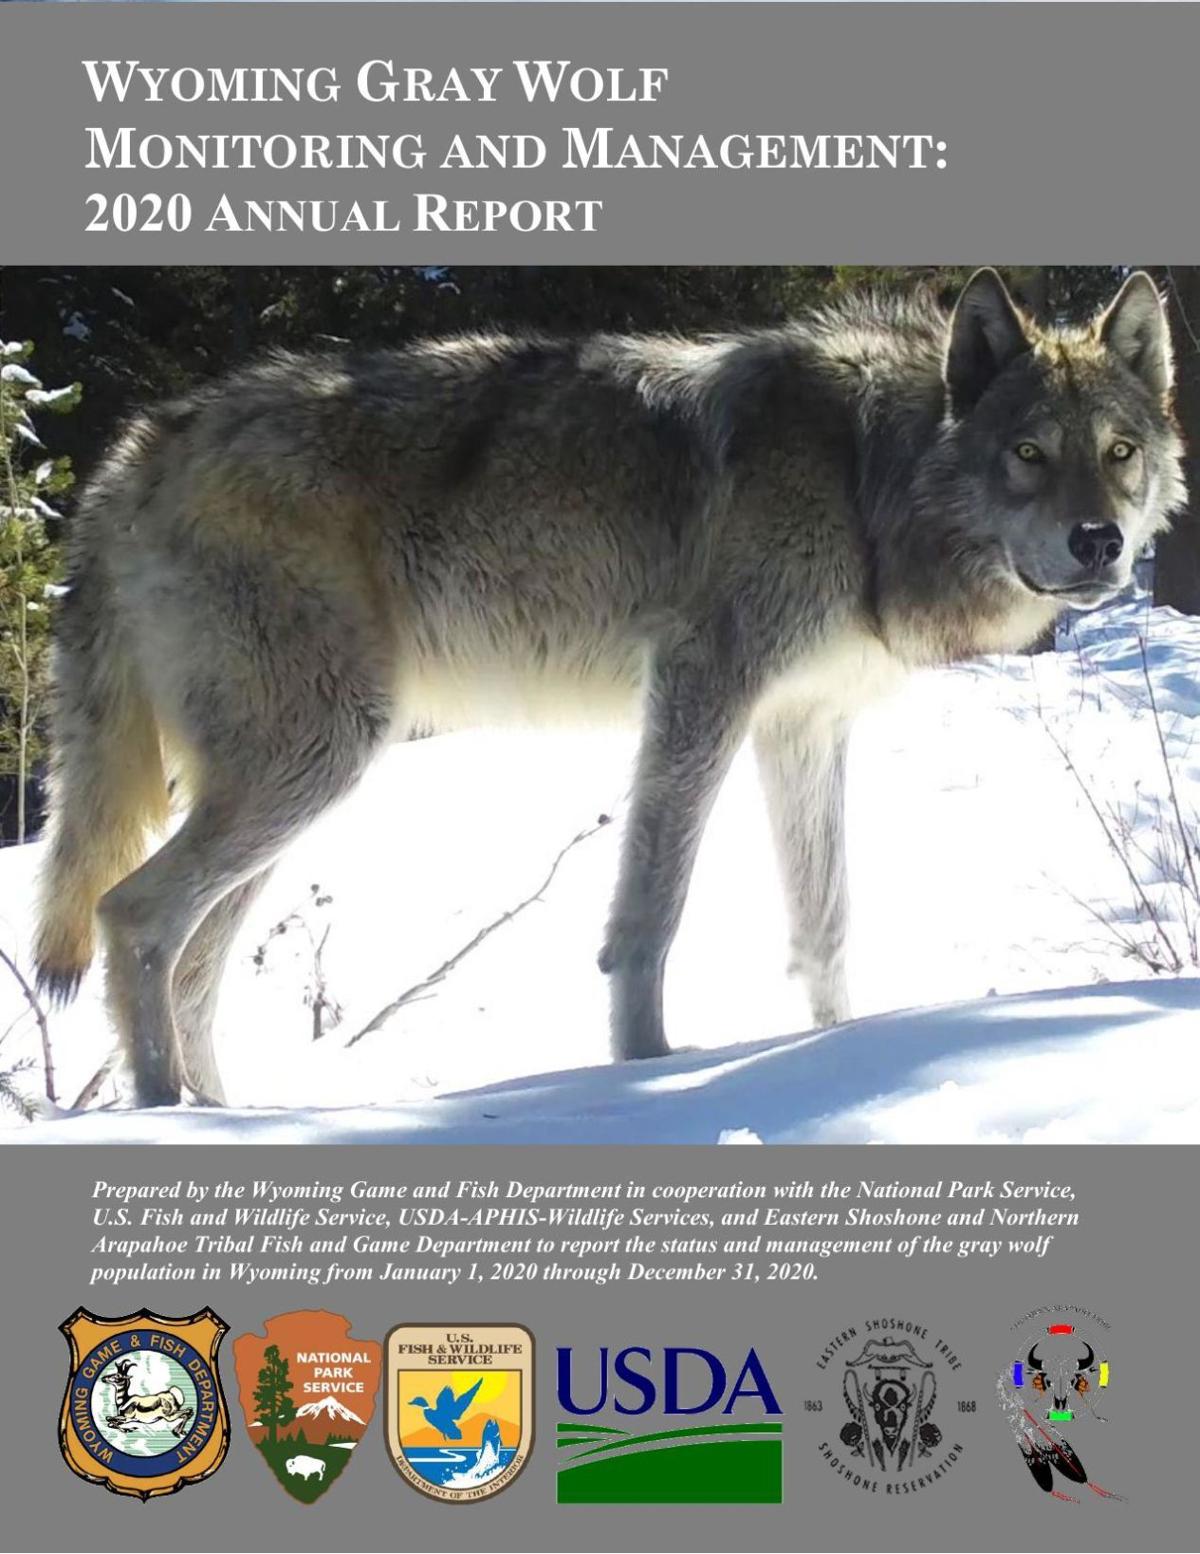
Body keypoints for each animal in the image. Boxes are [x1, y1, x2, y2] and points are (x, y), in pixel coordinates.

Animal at [34, 269, 1184, 1107]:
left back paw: (222, 1121)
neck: (867, 476)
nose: (1100, 543)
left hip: (295, 790)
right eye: (1028, 452)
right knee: (132, 914)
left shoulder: (804, 726)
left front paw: (837, 1057)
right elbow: (649, 914)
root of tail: (133, 453)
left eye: (1119, 451)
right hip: (311, 764)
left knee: (192, 965)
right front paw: (649, 1074)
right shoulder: (700, 691)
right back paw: (159, 1114)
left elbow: (825, 924)